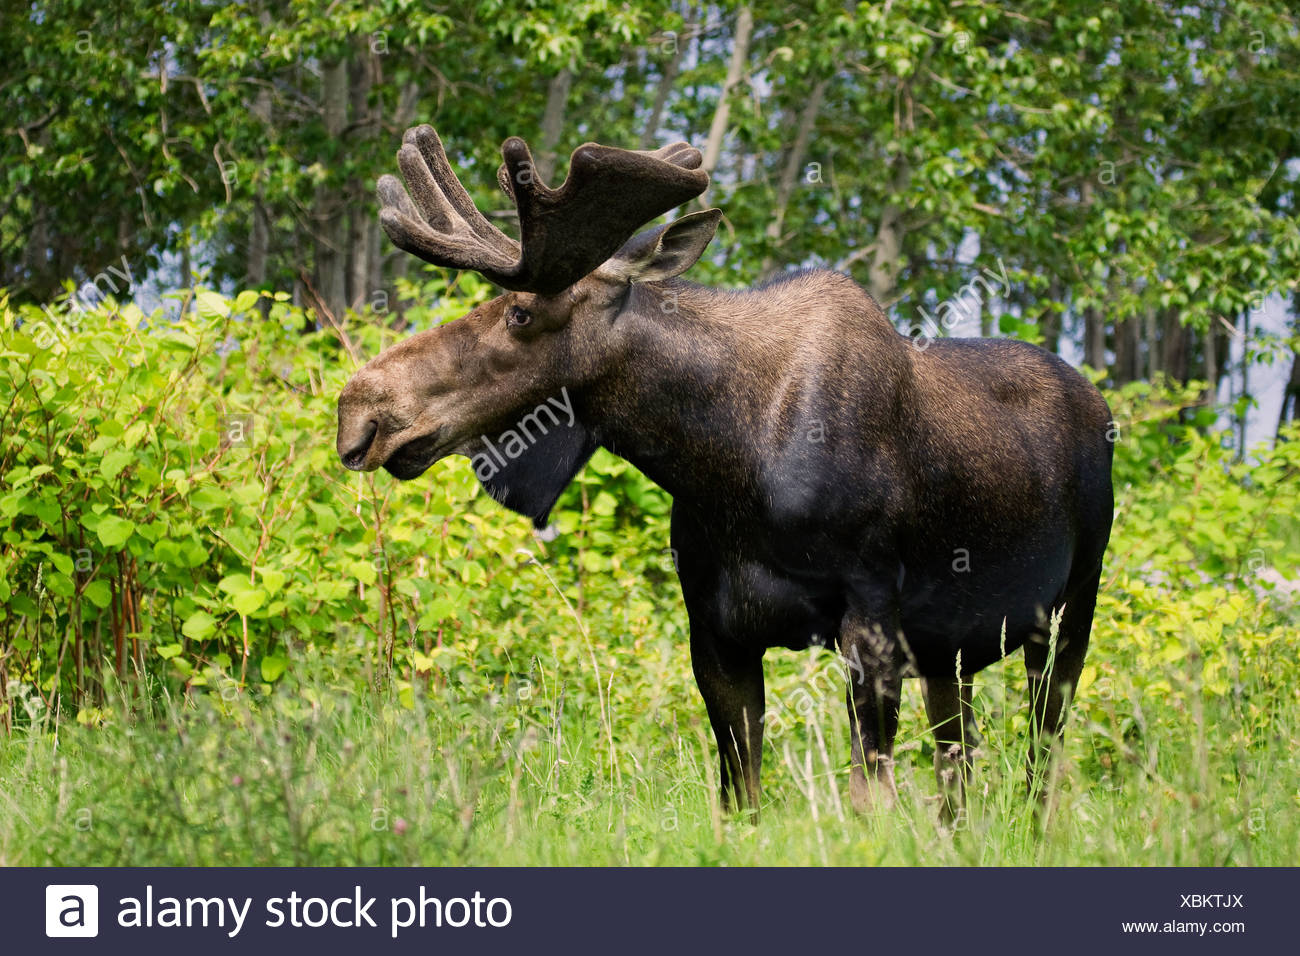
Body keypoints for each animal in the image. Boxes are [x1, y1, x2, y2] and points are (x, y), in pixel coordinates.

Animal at [336, 124, 1115, 821]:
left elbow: (869, 799)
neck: (729, 468)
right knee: (959, 768)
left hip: (1070, 609)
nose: (359, 409)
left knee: (1040, 764)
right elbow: (740, 795)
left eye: (520, 313)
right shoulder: (714, 629)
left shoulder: (871, 611)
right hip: (950, 649)